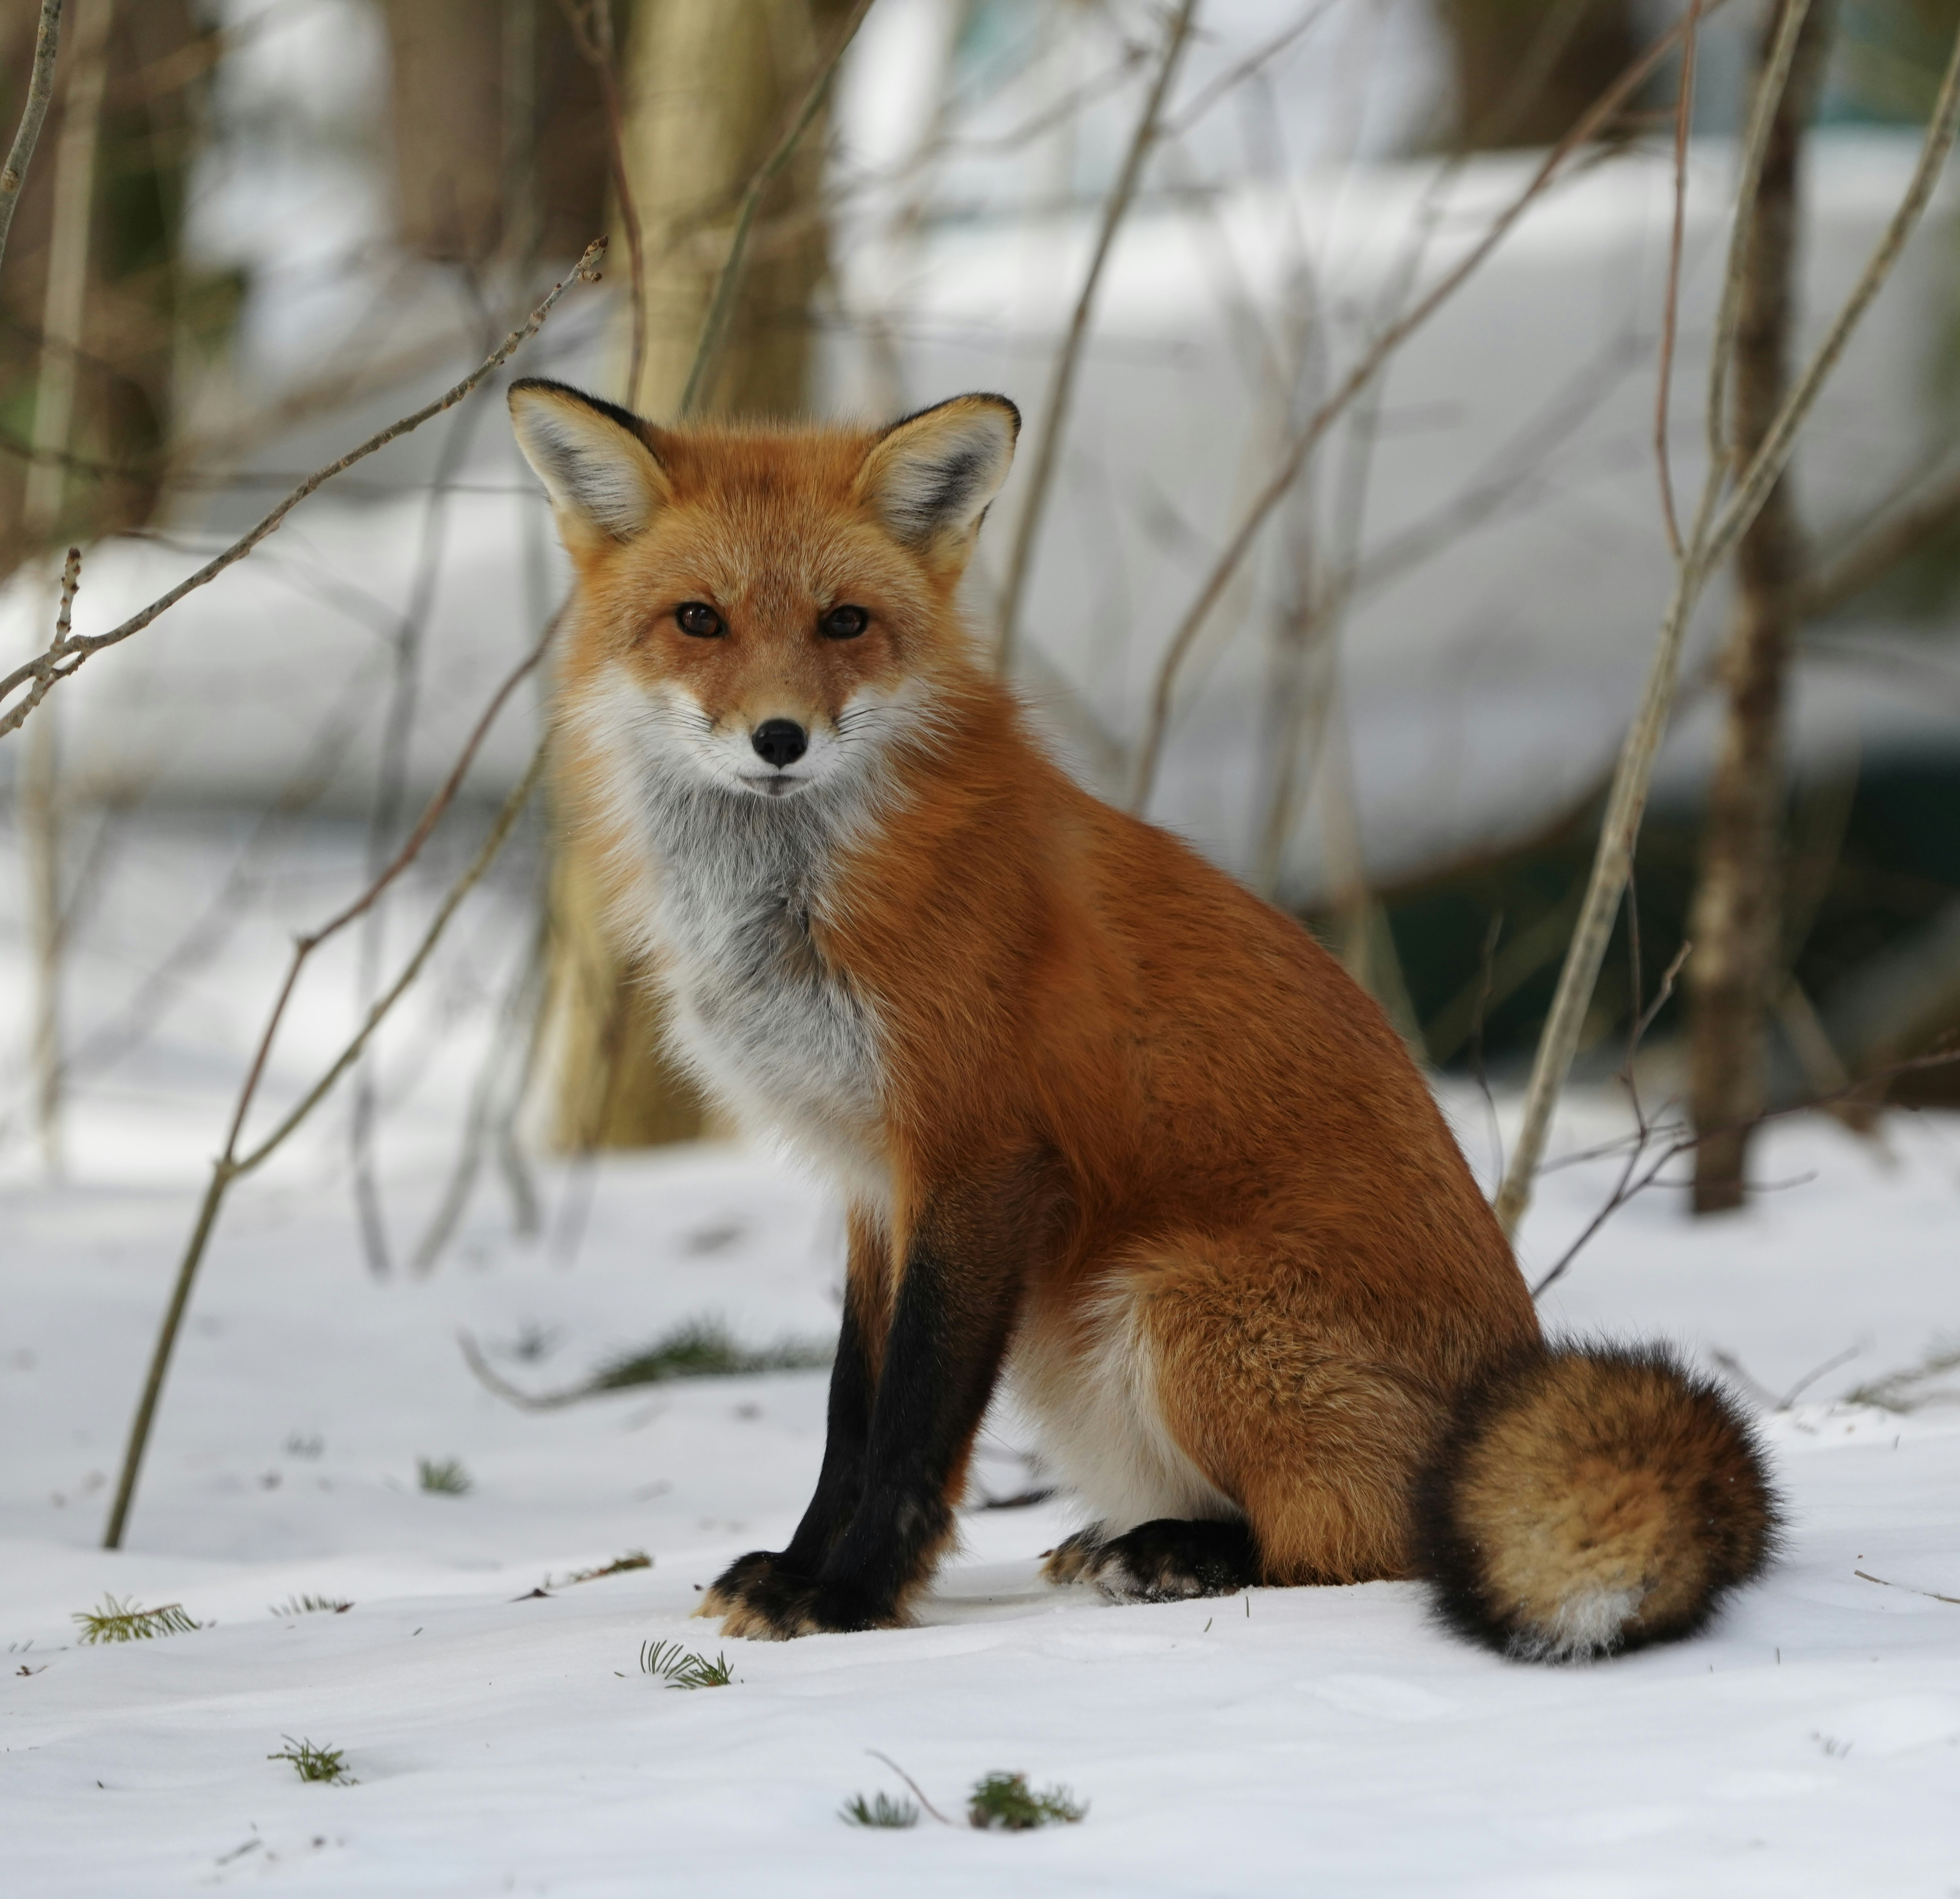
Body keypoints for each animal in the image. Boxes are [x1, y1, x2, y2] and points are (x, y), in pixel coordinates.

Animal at [508, 375, 1781, 1662]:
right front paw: (798, 1571)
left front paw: (852, 1598)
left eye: (844, 624)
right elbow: (847, 1415)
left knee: (1356, 1546)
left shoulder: (976, 1158)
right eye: (698, 620)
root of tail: (1504, 1383)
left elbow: (913, 1422)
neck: (798, 898)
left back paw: (1180, 1555)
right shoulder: (873, 1181)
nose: (779, 739)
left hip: (1166, 1302)